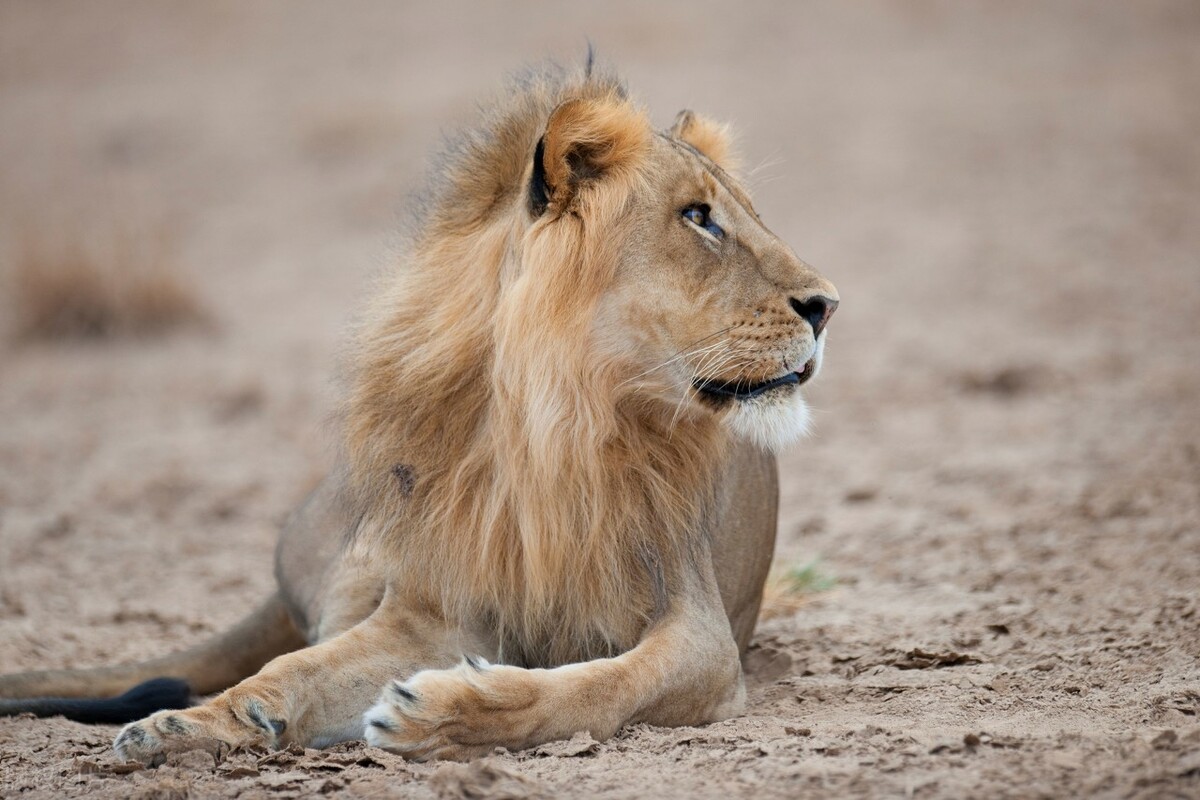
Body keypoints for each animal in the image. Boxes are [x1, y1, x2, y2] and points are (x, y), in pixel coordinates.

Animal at [0, 63, 838, 763]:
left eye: (743, 214)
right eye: (698, 217)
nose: (827, 305)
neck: (548, 423)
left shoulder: (700, 634)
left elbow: (595, 685)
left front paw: (444, 714)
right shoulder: (425, 614)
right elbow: (292, 669)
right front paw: (188, 728)